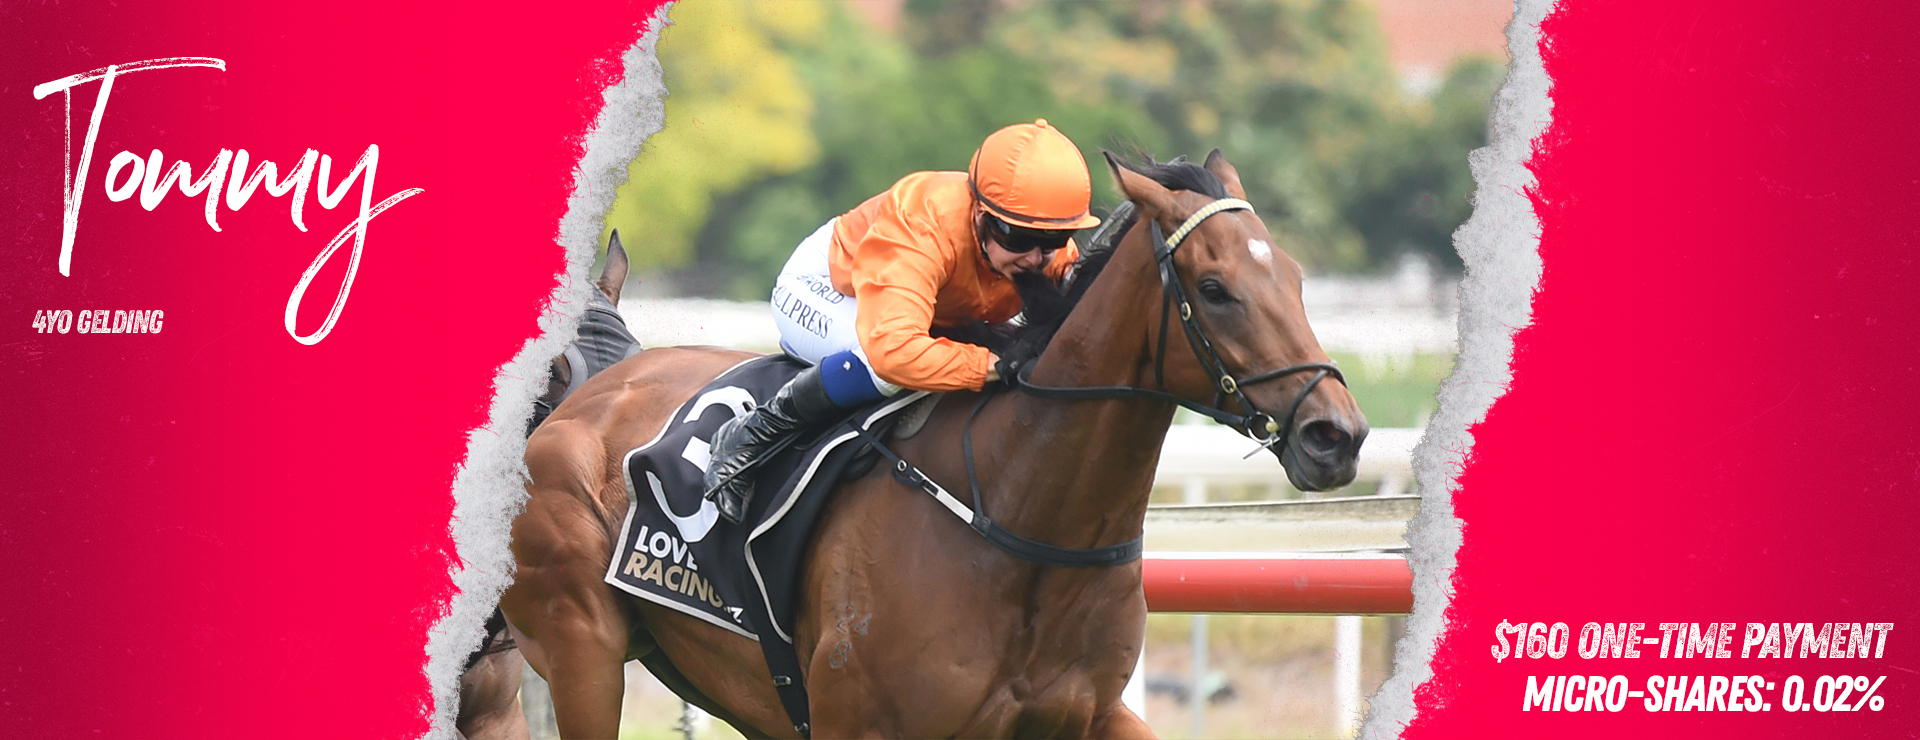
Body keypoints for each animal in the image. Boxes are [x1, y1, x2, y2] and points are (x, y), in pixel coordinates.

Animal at [500, 149, 1368, 739]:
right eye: (1216, 290)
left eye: (1295, 279)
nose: (1337, 434)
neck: (1023, 520)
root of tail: (574, 403)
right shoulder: (862, 723)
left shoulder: (1089, 713)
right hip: (582, 649)